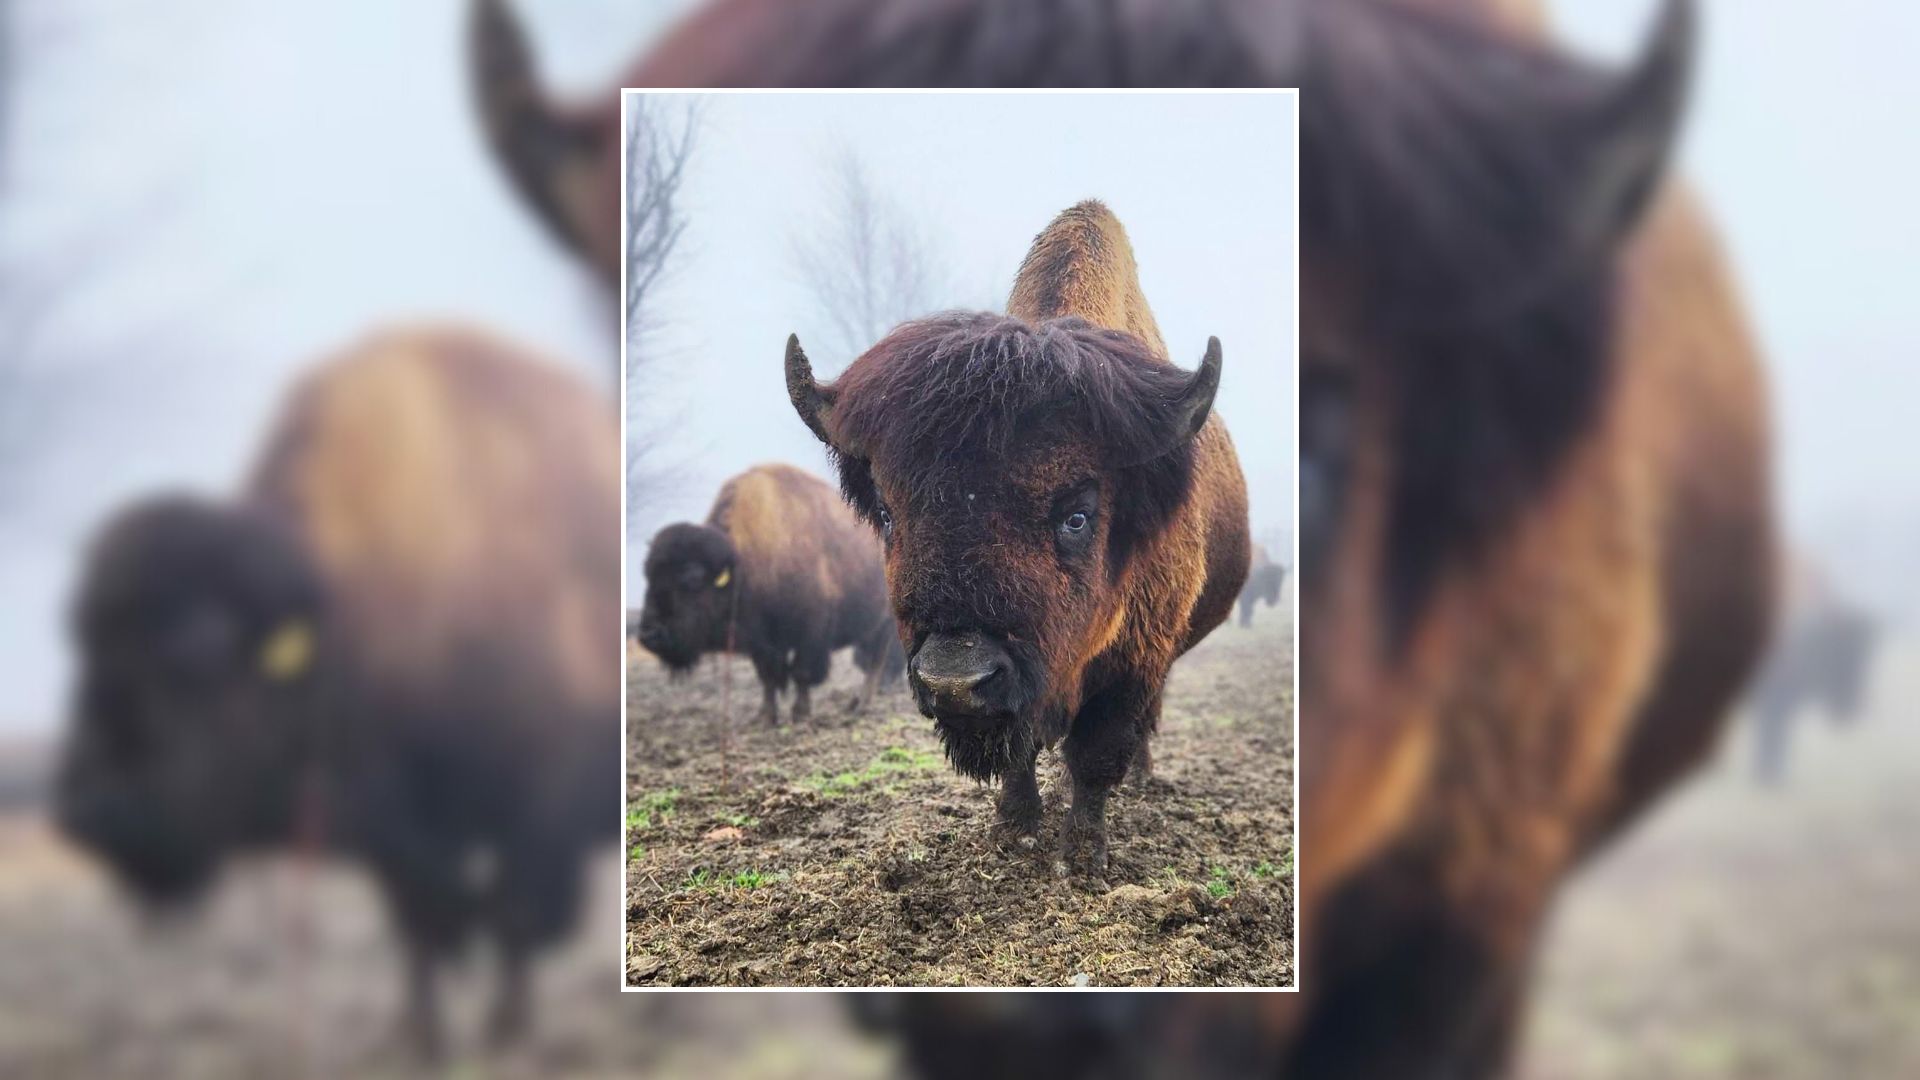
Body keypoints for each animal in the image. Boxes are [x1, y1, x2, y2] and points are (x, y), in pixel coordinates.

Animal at [55, 327, 619, 1057]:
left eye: (195, 649)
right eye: (86, 645)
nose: (85, 811)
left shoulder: (536, 810)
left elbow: (512, 919)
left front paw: (505, 1031)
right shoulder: (400, 831)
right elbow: (423, 927)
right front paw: (421, 1039)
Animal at [635, 463, 903, 725]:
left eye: (692, 578)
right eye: (648, 575)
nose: (649, 635)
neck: (743, 560)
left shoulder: (811, 631)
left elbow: (801, 673)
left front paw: (800, 713)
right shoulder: (761, 640)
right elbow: (768, 677)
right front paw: (765, 716)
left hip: (884, 626)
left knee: (875, 663)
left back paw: (862, 705)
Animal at [784, 200, 1250, 873]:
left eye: (1077, 516)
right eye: (891, 515)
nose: (954, 681)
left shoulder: (1136, 661)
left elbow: (1097, 754)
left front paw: (1083, 858)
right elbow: (1020, 749)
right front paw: (1014, 826)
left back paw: (1143, 778)